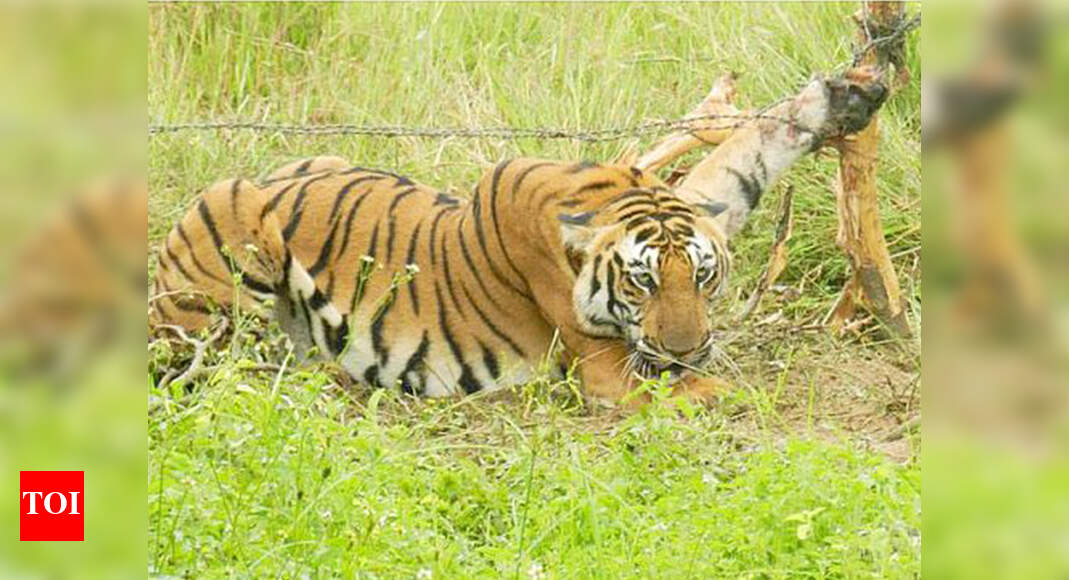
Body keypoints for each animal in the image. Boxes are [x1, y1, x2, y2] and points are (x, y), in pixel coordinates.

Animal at [150, 74, 888, 406]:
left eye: (701, 275)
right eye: (642, 280)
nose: (688, 347)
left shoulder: (700, 201)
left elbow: (745, 154)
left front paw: (842, 97)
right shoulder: (609, 369)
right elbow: (716, 392)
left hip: (318, 161)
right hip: (231, 221)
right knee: (215, 365)